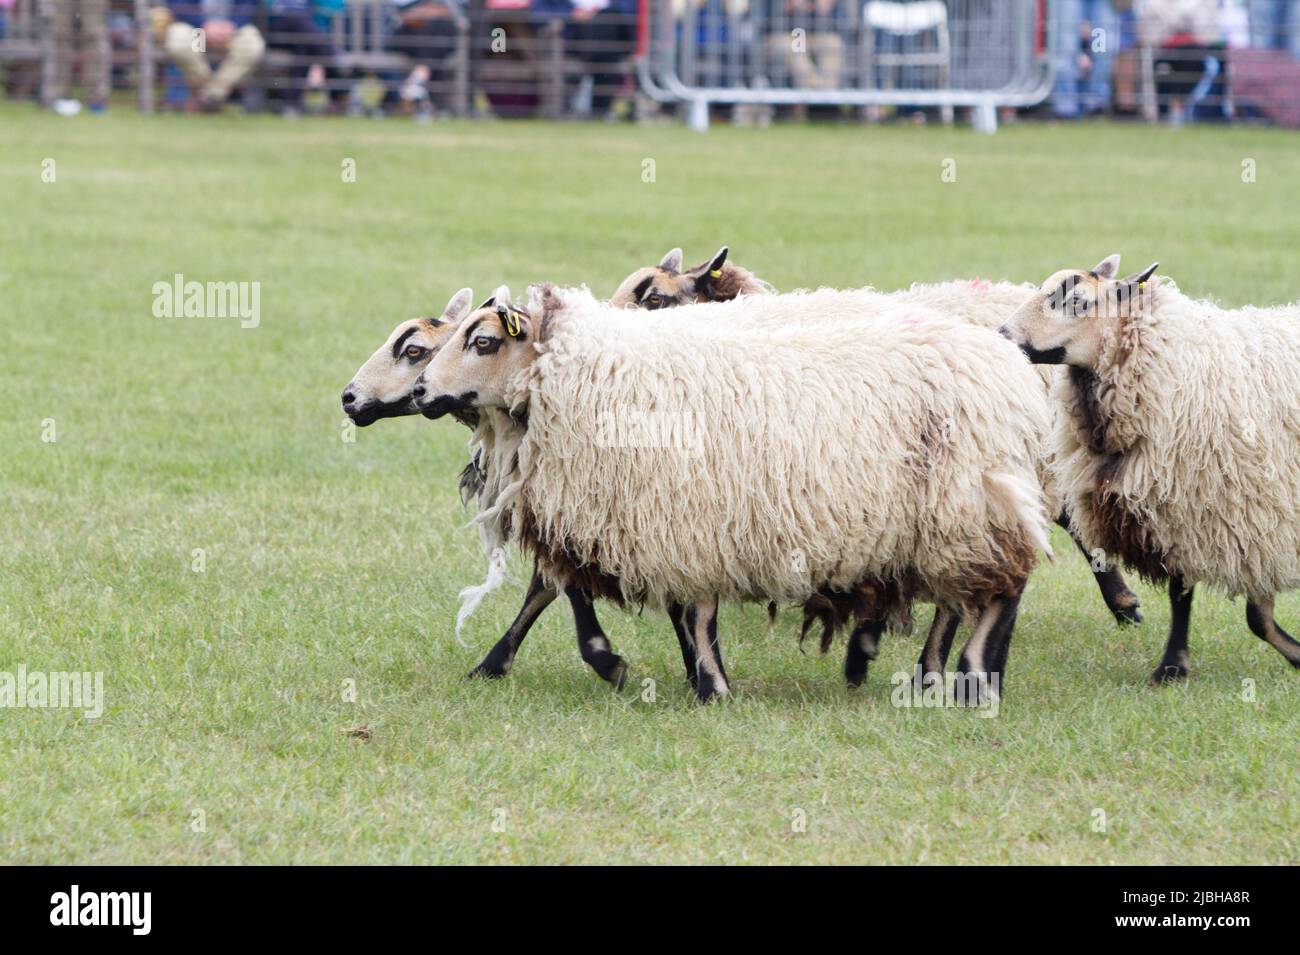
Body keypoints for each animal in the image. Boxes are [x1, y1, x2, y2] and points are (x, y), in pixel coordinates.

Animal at [414, 284, 1052, 703]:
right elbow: (579, 589)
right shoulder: (637, 518)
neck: (587, 375)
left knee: (1000, 589)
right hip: (947, 513)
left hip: (967, 502)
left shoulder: (684, 519)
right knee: (961, 596)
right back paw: (923, 674)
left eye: (484, 341)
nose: (420, 390)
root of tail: (1008, 363)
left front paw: (707, 685)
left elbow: (690, 610)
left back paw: (971, 677)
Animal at [999, 254, 1300, 683]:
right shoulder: (1173, 511)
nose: (1001, 335)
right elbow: (1182, 593)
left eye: (1076, 301)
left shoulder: (1249, 516)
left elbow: (1253, 614)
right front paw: (1173, 666)